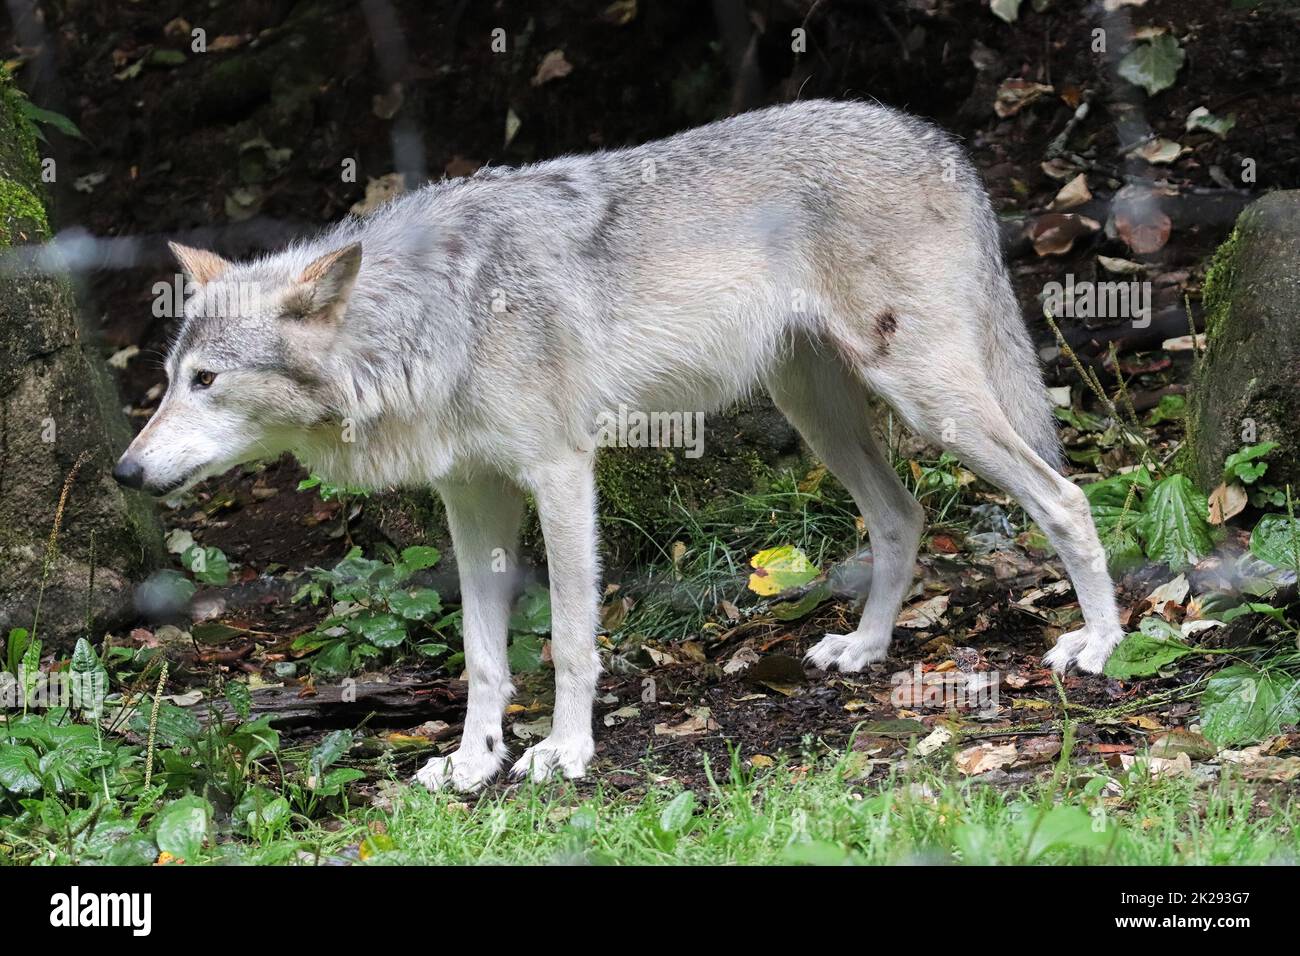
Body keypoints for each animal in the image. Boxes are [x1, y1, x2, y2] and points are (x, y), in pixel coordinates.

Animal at [114, 99, 1124, 791]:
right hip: (820, 410)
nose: (125, 469)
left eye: (206, 381)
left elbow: (567, 638)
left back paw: (1101, 644)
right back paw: (866, 650)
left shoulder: (560, 475)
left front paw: (564, 751)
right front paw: (473, 763)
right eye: (167, 379)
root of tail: (938, 139)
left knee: (1065, 496)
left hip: (929, 402)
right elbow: (481, 656)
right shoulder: (472, 500)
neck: (430, 316)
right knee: (902, 515)